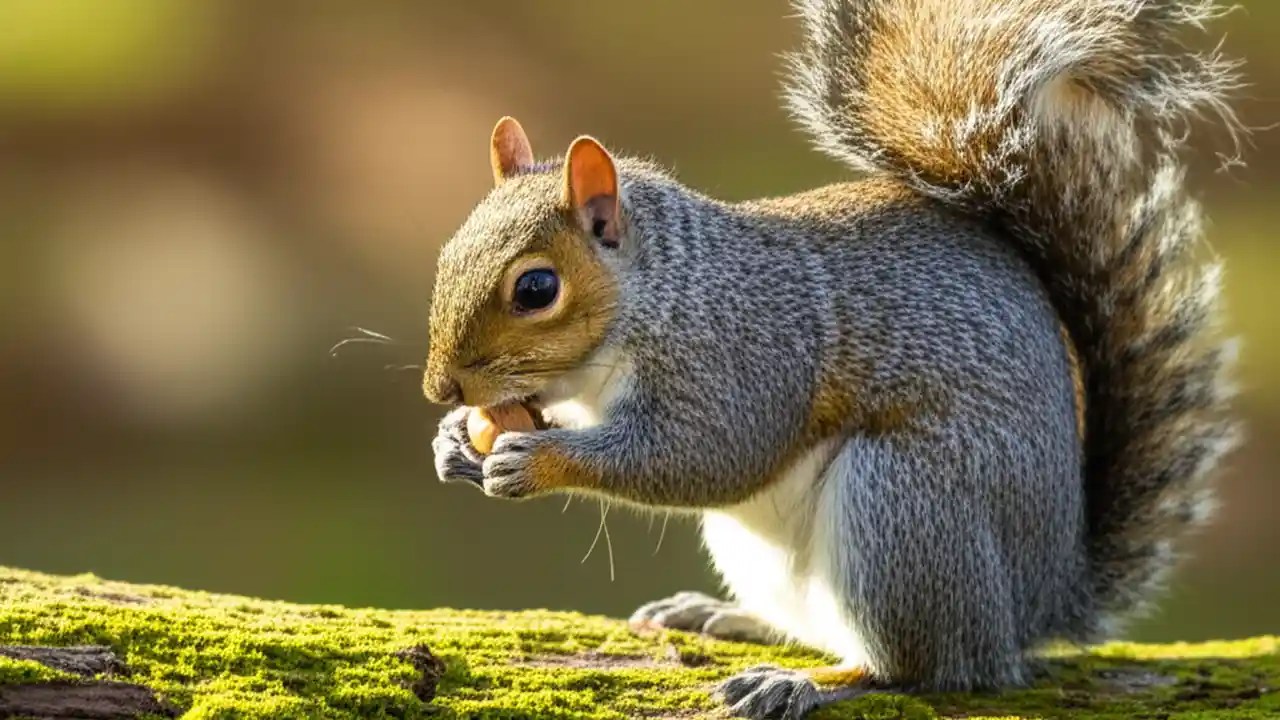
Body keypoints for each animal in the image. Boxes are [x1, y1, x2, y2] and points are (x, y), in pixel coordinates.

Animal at [423, 1, 1243, 718]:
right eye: (448, 248)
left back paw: (808, 683)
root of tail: (1041, 602)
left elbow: (706, 457)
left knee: (922, 668)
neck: (660, 291)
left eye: (536, 288)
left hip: (907, 506)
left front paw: (535, 460)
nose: (440, 388)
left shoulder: (745, 353)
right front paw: (457, 441)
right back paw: (725, 617)